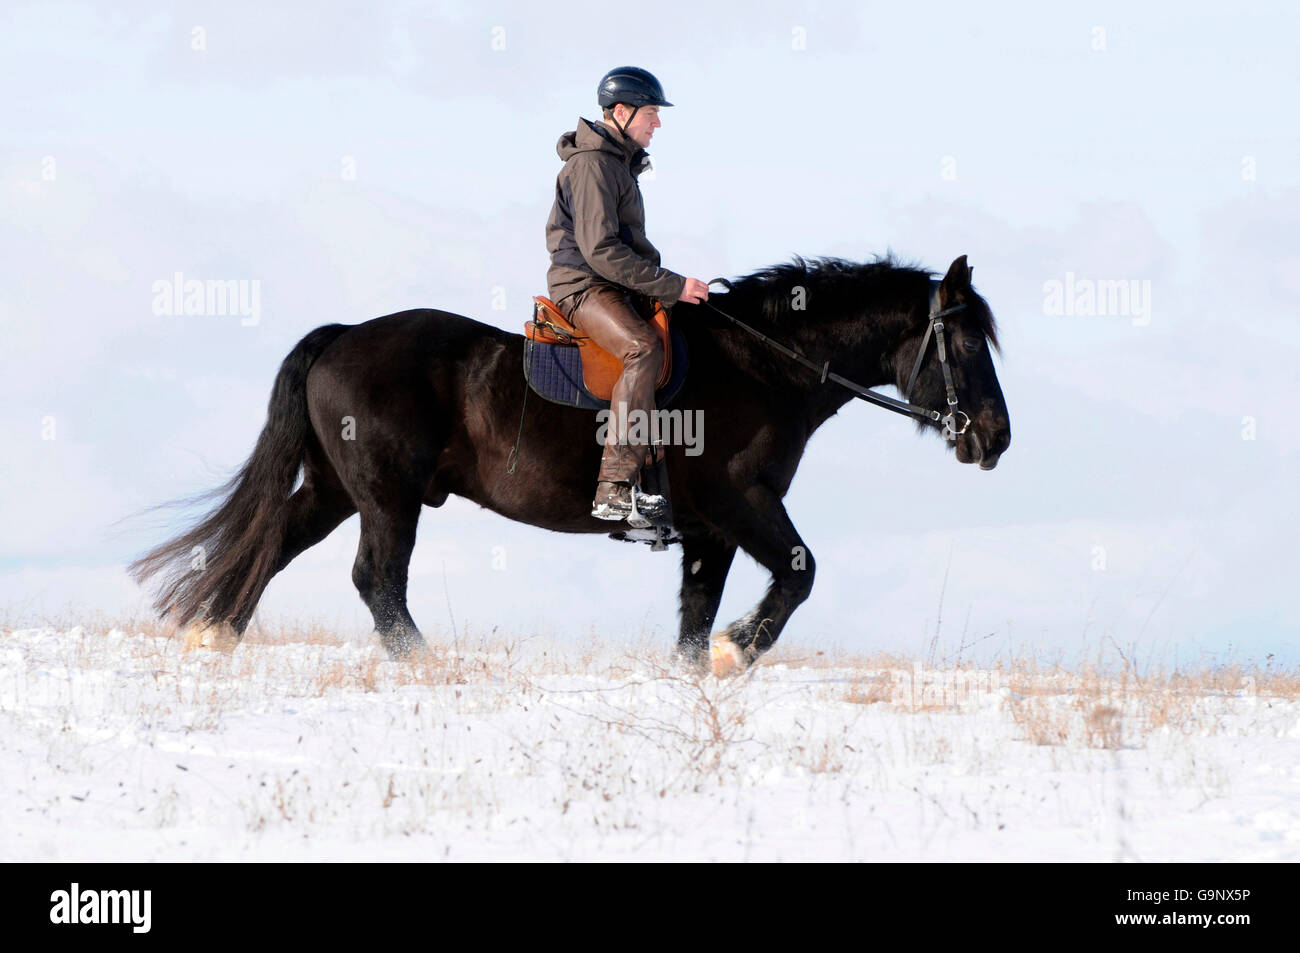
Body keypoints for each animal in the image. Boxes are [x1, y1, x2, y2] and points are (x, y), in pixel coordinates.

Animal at [131, 253, 1010, 674]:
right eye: (967, 341)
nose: (994, 438)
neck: (763, 367)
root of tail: (344, 335)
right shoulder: (741, 502)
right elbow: (799, 573)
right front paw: (739, 651)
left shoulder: (710, 531)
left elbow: (695, 615)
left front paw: (701, 665)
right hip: (388, 496)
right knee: (376, 579)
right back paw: (427, 664)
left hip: (338, 490)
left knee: (273, 542)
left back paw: (215, 636)